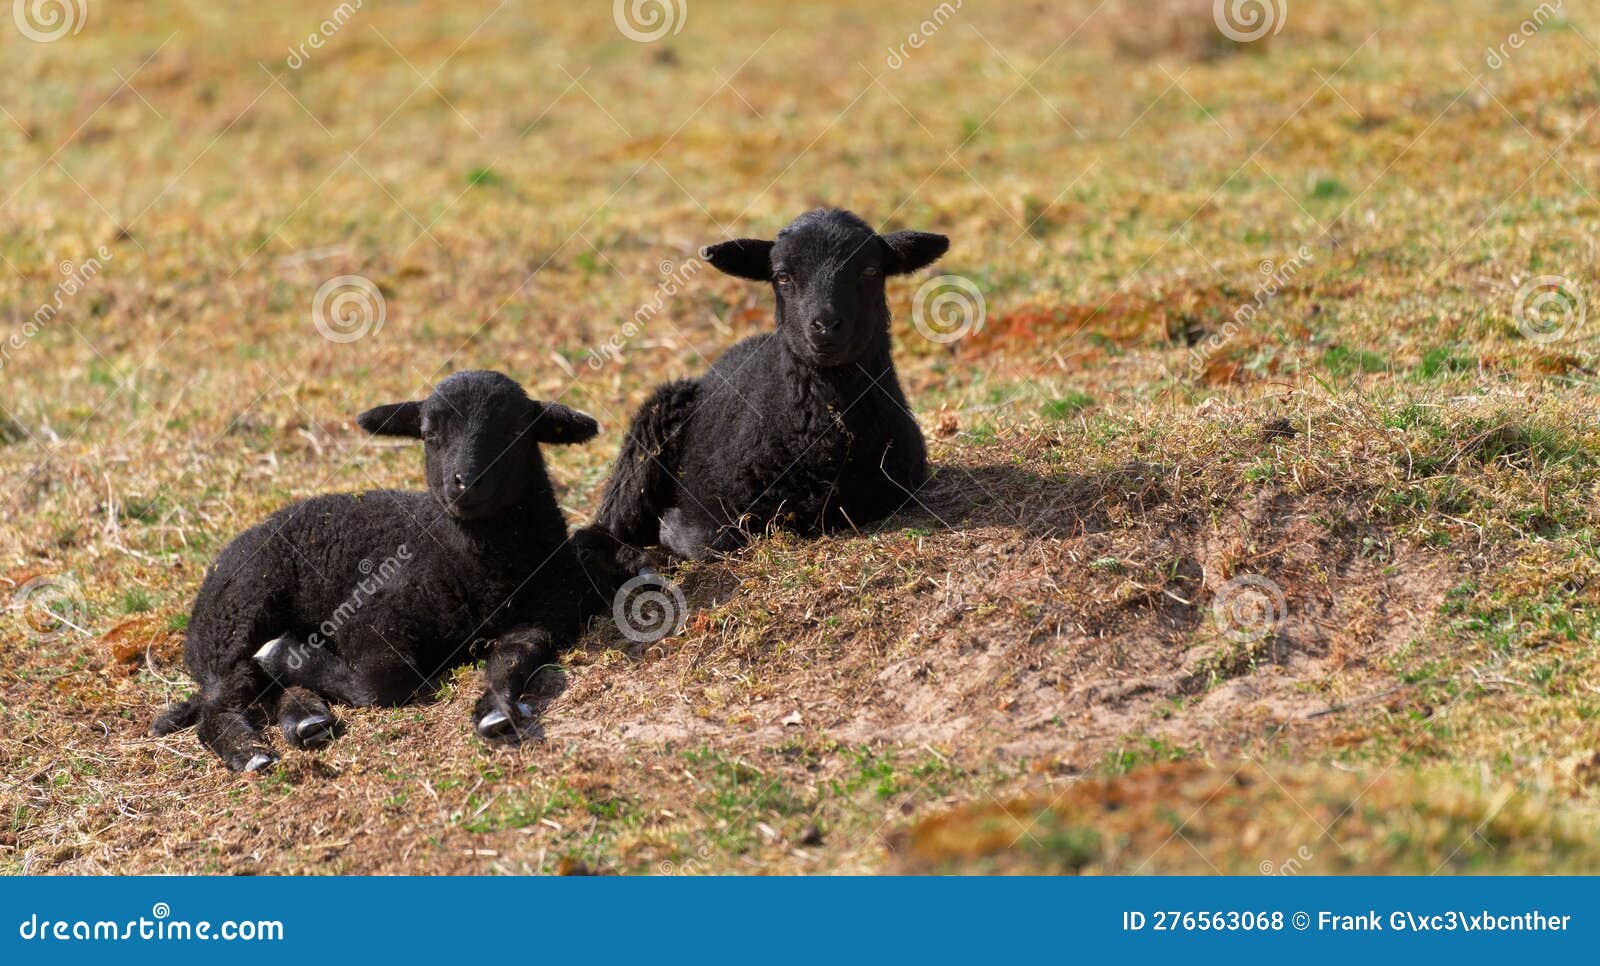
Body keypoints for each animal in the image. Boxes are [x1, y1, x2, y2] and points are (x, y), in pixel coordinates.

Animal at [151, 370, 604, 771]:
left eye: (516, 431)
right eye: (429, 434)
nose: (466, 483)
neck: (480, 569)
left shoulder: (545, 617)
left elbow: (515, 658)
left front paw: (495, 710)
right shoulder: (370, 614)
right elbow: (383, 681)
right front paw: (289, 657)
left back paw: (304, 716)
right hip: (236, 616)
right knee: (220, 702)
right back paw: (251, 748)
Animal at [594, 208, 948, 561]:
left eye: (871, 270)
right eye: (782, 276)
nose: (826, 326)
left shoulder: (894, 489)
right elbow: (710, 538)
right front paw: (671, 529)